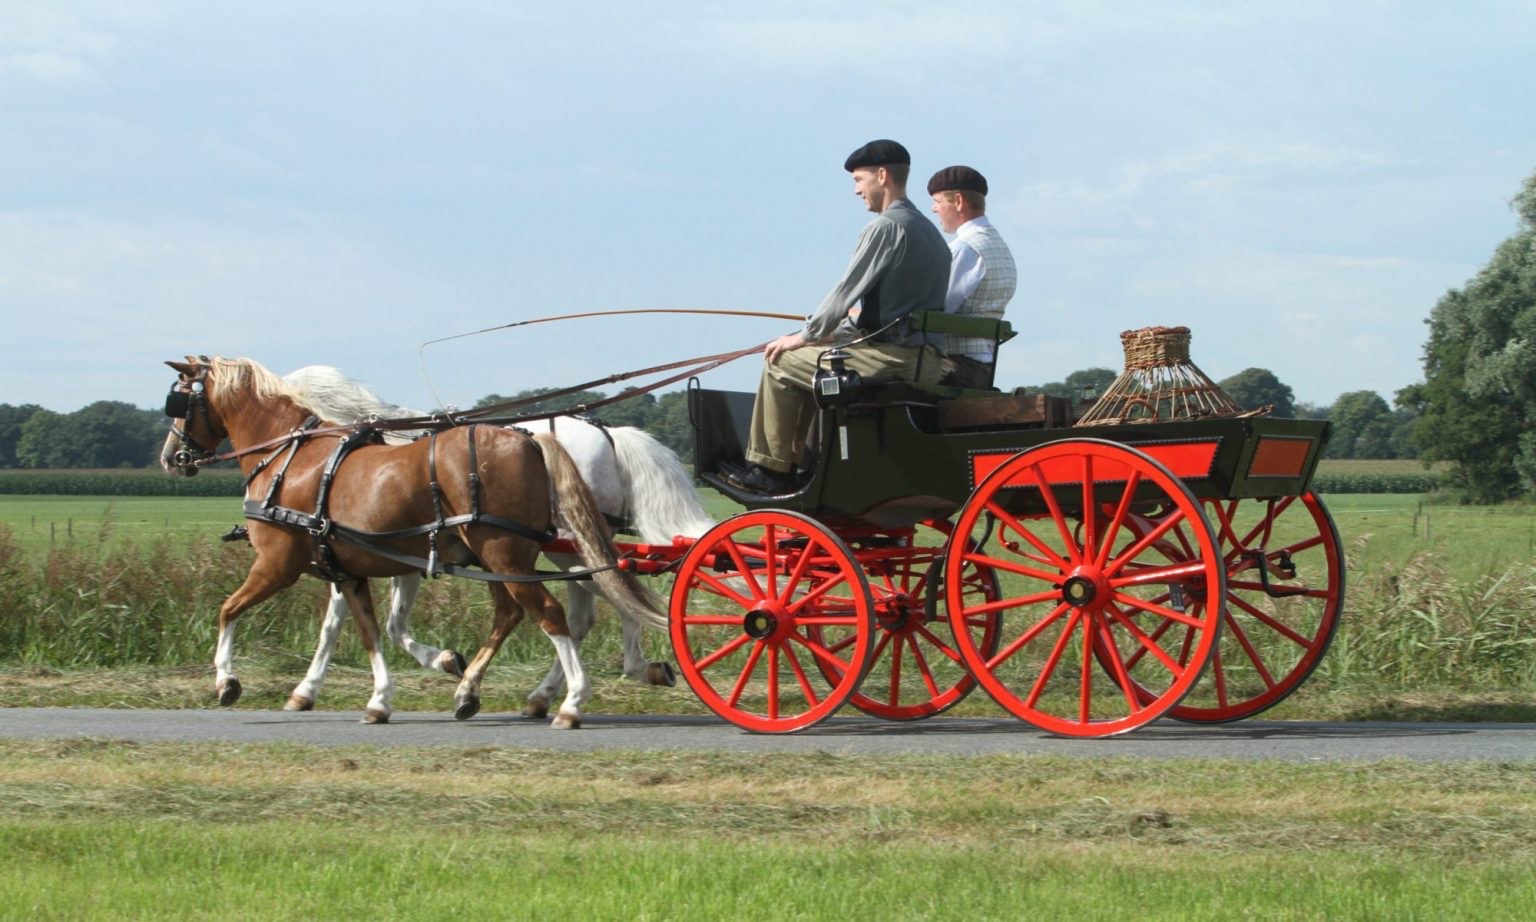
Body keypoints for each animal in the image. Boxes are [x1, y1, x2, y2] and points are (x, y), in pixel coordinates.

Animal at [159, 355, 668, 729]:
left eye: (178, 400)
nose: (171, 457)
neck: (291, 456)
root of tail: (533, 439)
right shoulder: (358, 568)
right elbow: (367, 630)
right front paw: (382, 694)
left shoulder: (277, 565)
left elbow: (228, 610)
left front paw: (228, 682)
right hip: (511, 556)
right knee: (545, 607)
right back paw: (497, 691)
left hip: (515, 551)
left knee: (560, 612)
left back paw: (572, 700)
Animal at [270, 365, 715, 719]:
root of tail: (610, 436)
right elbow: (354, 623)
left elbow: (347, 625)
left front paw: (307, 692)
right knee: (598, 601)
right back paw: (554, 694)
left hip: (560, 548)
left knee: (602, 598)